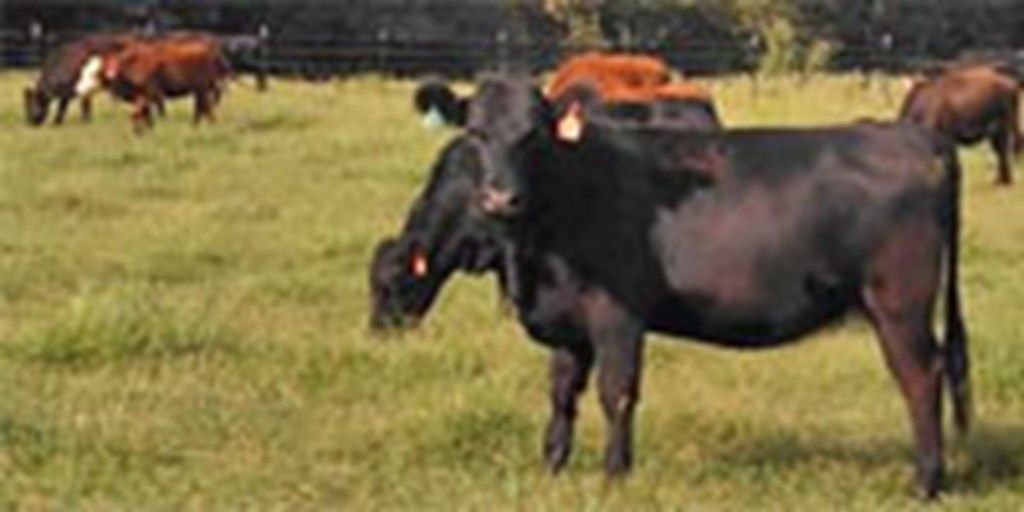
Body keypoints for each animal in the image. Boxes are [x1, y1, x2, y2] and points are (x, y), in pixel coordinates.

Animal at [405, 76, 970, 499]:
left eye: (534, 135)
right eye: (475, 132)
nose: (501, 198)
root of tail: (912, 137)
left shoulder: (618, 315)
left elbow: (617, 393)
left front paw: (614, 476)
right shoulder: (568, 322)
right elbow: (562, 394)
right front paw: (552, 467)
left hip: (899, 304)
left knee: (921, 376)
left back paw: (926, 482)